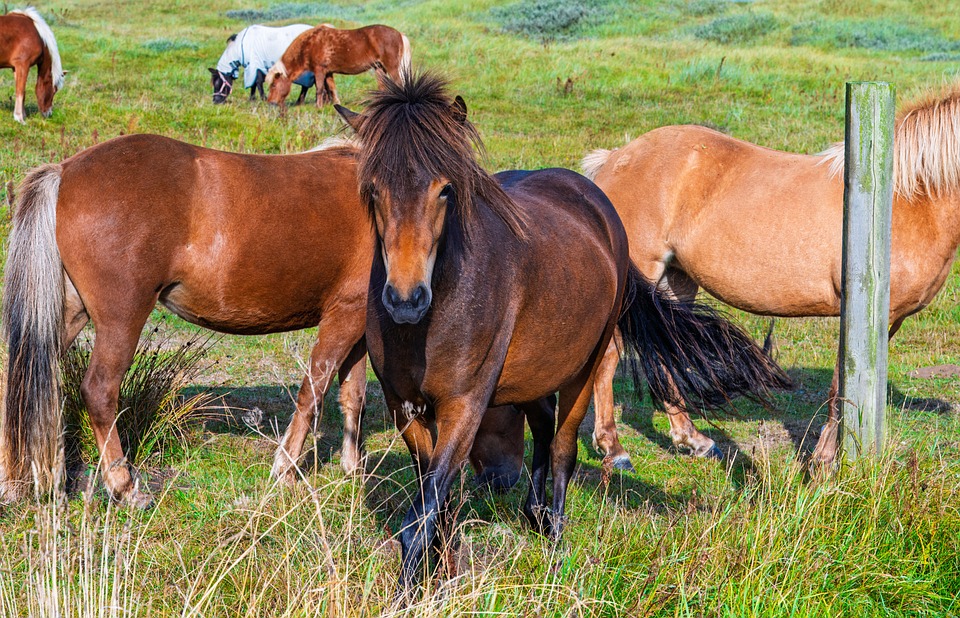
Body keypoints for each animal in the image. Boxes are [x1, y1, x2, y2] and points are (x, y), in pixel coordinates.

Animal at [0, 134, 529, 507]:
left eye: (445, 193)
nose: (502, 480)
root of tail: (66, 171)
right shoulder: (343, 317)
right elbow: (313, 390)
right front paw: (286, 468)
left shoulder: (360, 329)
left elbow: (352, 395)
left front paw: (352, 467)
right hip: (120, 319)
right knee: (99, 391)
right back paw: (124, 485)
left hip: (68, 314)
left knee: (24, 382)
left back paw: (22, 478)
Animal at [265, 24, 411, 108]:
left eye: (273, 85)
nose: (270, 102)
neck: (310, 43)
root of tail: (399, 34)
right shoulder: (328, 72)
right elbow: (331, 88)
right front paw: (336, 104)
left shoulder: (319, 70)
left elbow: (319, 89)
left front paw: (318, 107)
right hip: (379, 68)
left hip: (392, 68)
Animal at [335, 72, 790, 592]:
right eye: (372, 190)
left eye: (445, 189)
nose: (405, 300)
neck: (431, 318)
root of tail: (594, 197)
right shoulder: (405, 409)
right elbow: (438, 507)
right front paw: (443, 574)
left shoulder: (463, 407)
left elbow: (423, 516)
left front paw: (414, 592)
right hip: (533, 369)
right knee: (542, 424)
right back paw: (535, 515)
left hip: (583, 368)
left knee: (563, 448)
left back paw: (554, 537)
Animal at [582, 81, 960, 471]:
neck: (908, 196)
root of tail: (615, 157)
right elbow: (841, 386)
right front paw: (823, 463)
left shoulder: (886, 322)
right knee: (608, 357)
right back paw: (614, 450)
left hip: (674, 282)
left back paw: (694, 440)